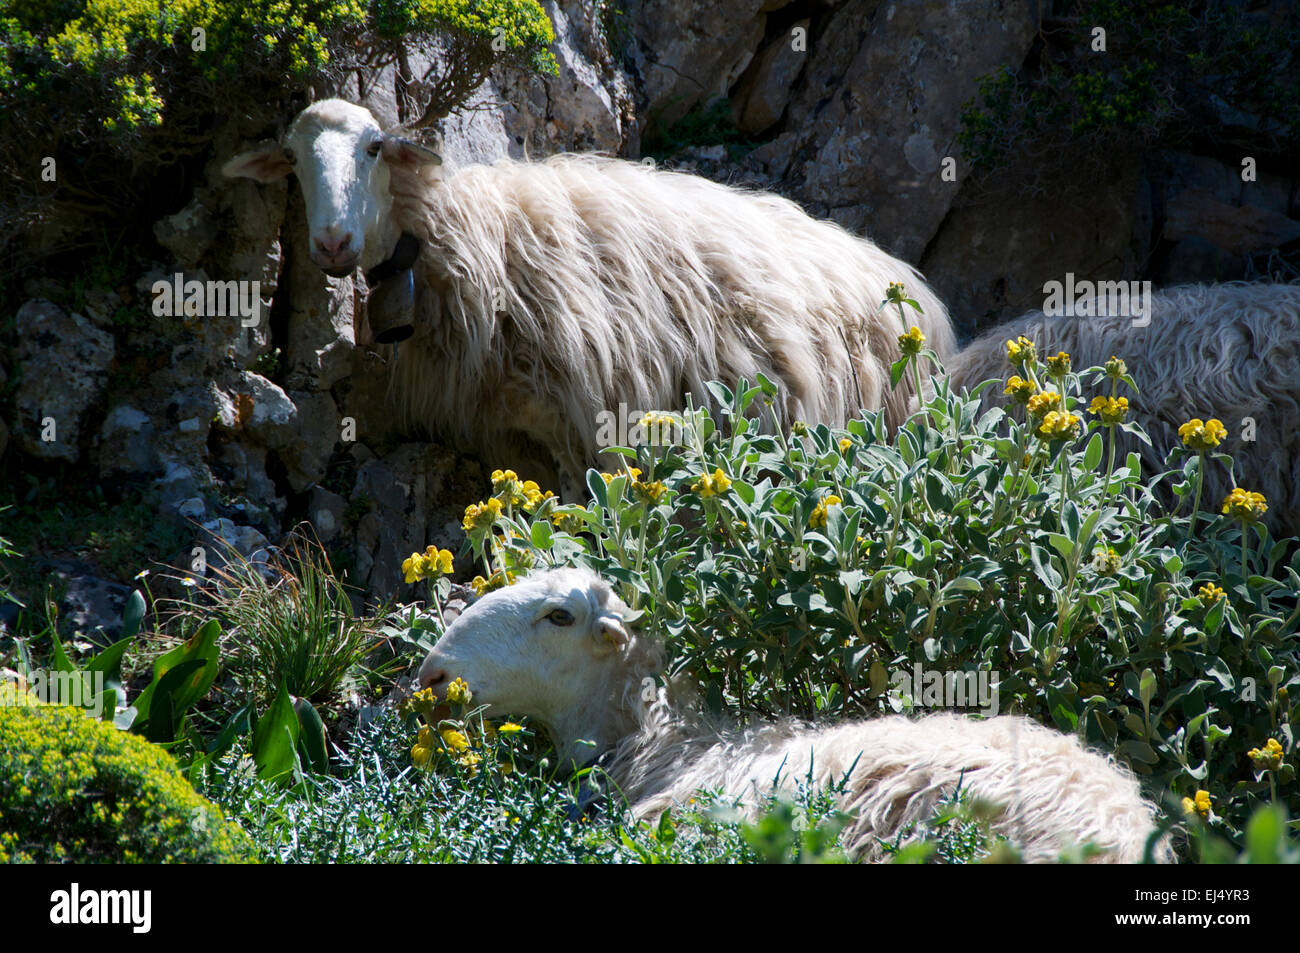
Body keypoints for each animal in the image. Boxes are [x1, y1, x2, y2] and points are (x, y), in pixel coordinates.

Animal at [223, 99, 957, 497]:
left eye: (373, 147)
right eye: (292, 161)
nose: (333, 243)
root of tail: (907, 278)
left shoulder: (594, 416)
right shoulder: (509, 433)